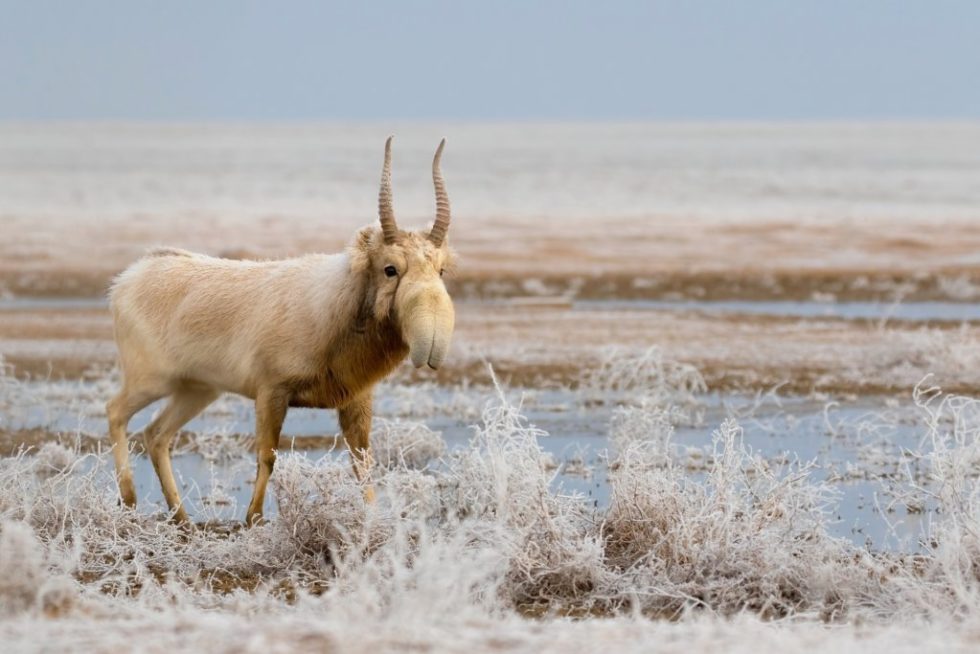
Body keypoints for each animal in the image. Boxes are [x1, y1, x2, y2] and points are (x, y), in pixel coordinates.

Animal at [106, 137, 456, 525]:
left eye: (441, 269)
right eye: (390, 268)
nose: (431, 344)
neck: (336, 300)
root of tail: (129, 279)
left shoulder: (357, 399)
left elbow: (362, 462)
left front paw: (374, 518)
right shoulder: (271, 392)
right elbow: (268, 455)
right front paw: (254, 520)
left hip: (197, 390)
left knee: (156, 435)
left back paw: (181, 517)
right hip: (151, 381)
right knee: (116, 412)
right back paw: (129, 501)